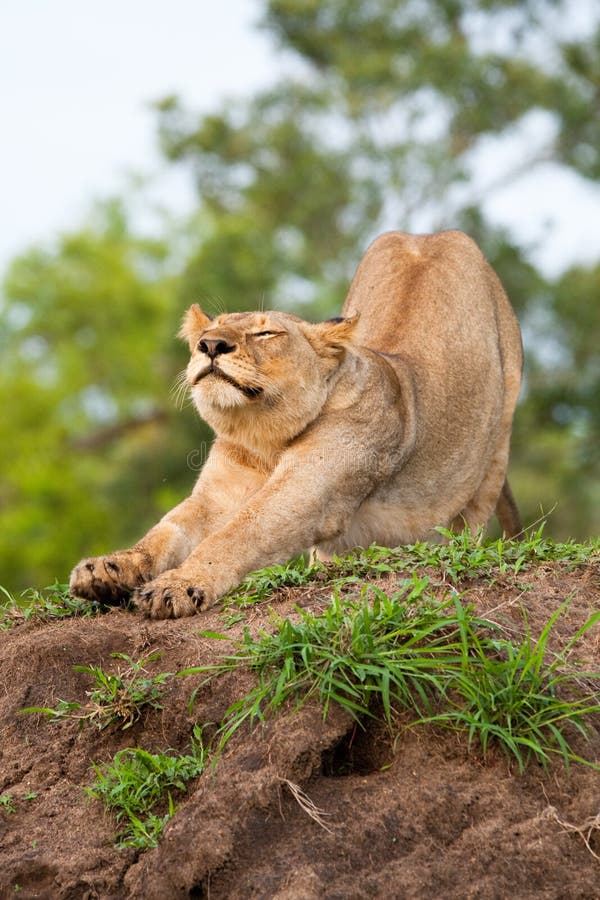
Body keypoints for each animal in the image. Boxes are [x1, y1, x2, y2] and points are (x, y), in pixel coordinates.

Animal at [70, 230, 523, 619]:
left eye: (266, 333)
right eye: (212, 328)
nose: (210, 344)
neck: (263, 438)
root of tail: (429, 235)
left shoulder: (308, 488)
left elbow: (238, 534)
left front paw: (178, 586)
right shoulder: (216, 496)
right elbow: (166, 531)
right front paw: (109, 569)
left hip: (498, 433)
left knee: (474, 510)